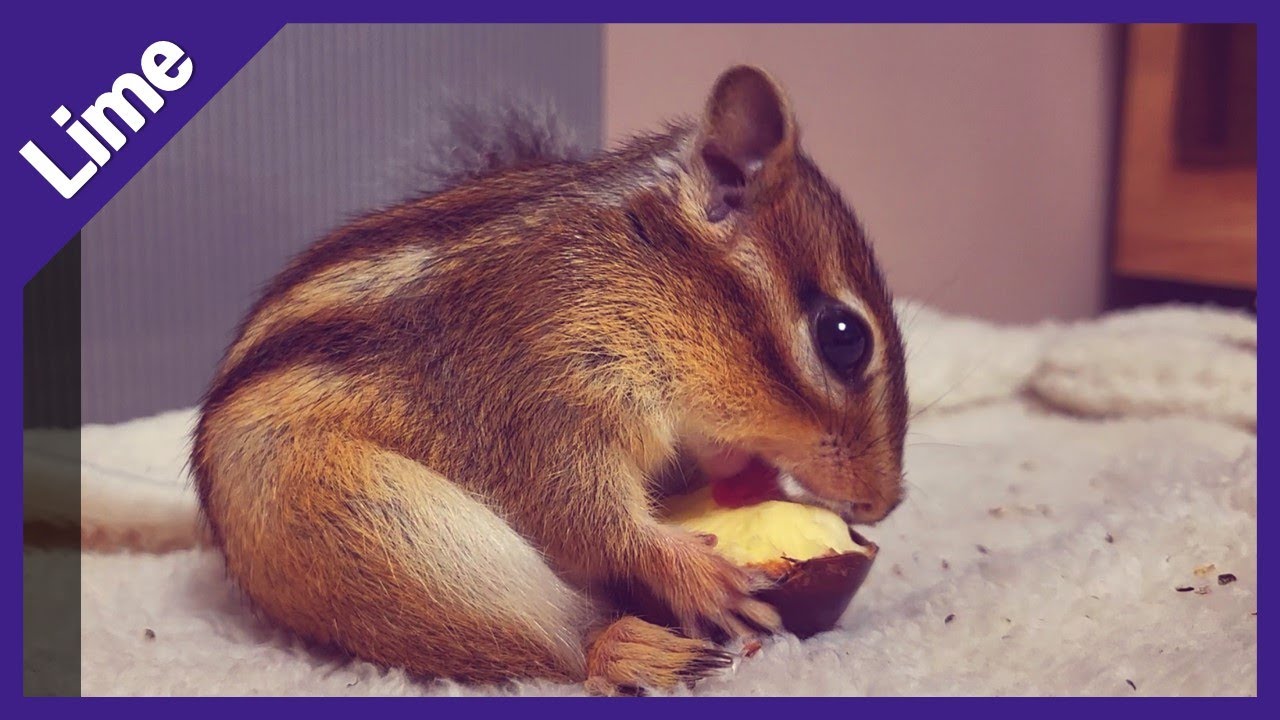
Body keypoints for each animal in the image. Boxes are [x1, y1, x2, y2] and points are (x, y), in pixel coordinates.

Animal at [191, 65, 908, 694]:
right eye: (843, 337)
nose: (882, 503)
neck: (645, 274)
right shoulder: (543, 390)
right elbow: (581, 514)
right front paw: (697, 574)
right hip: (385, 534)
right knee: (546, 646)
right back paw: (625, 648)